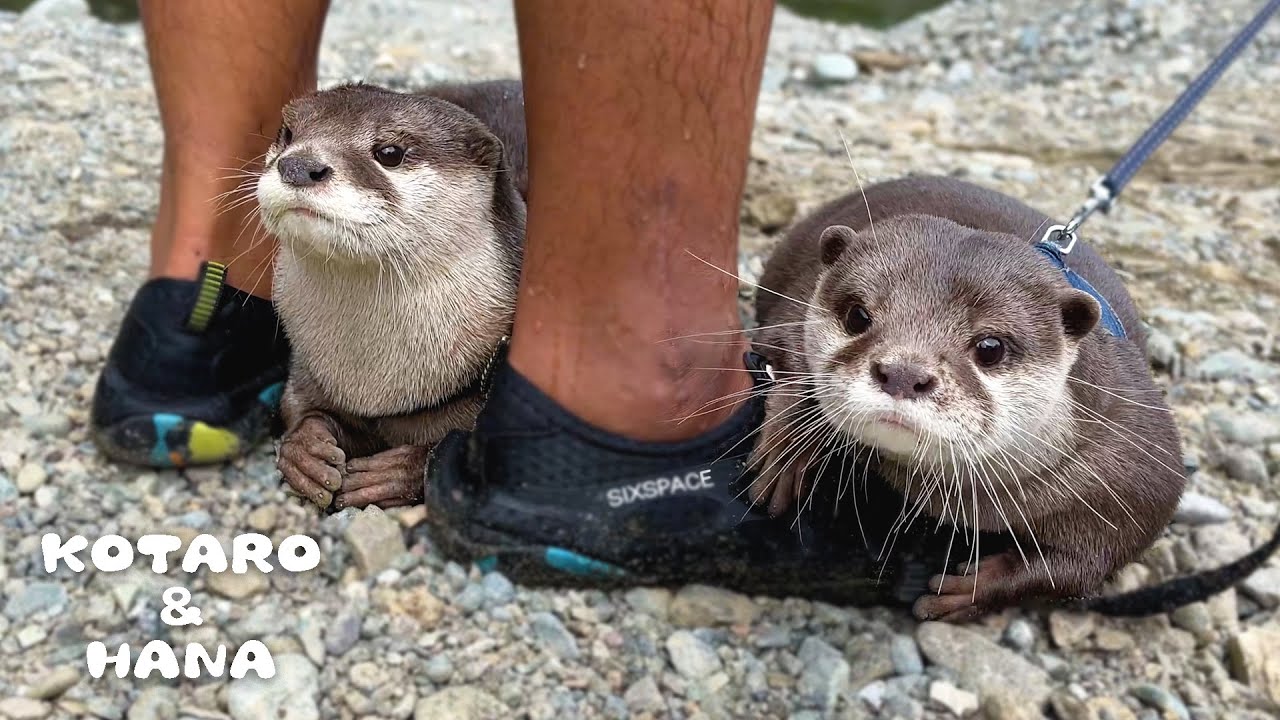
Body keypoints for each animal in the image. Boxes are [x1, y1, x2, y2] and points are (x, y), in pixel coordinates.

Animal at [255, 80, 526, 511]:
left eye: (389, 153)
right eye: (288, 133)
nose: (297, 165)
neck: (375, 385)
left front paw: (395, 473)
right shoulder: (308, 367)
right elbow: (296, 407)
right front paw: (306, 452)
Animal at [748, 175, 1191, 621]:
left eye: (990, 347)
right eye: (858, 315)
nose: (904, 374)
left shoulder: (1135, 458)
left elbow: (1095, 559)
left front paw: (974, 590)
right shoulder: (800, 295)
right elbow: (782, 343)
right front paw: (789, 450)